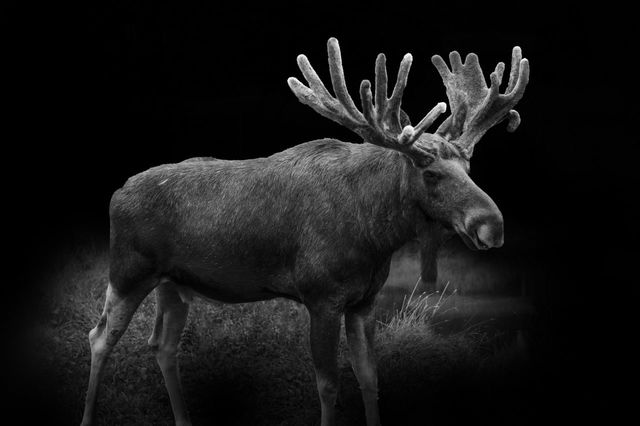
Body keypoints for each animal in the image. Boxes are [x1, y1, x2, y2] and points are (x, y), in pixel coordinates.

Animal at [81, 37, 528, 426]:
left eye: (468, 168)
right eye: (431, 173)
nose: (493, 225)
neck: (375, 238)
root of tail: (117, 194)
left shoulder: (364, 301)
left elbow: (370, 377)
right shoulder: (321, 295)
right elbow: (328, 385)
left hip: (173, 284)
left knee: (162, 345)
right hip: (128, 271)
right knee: (99, 336)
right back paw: (89, 416)